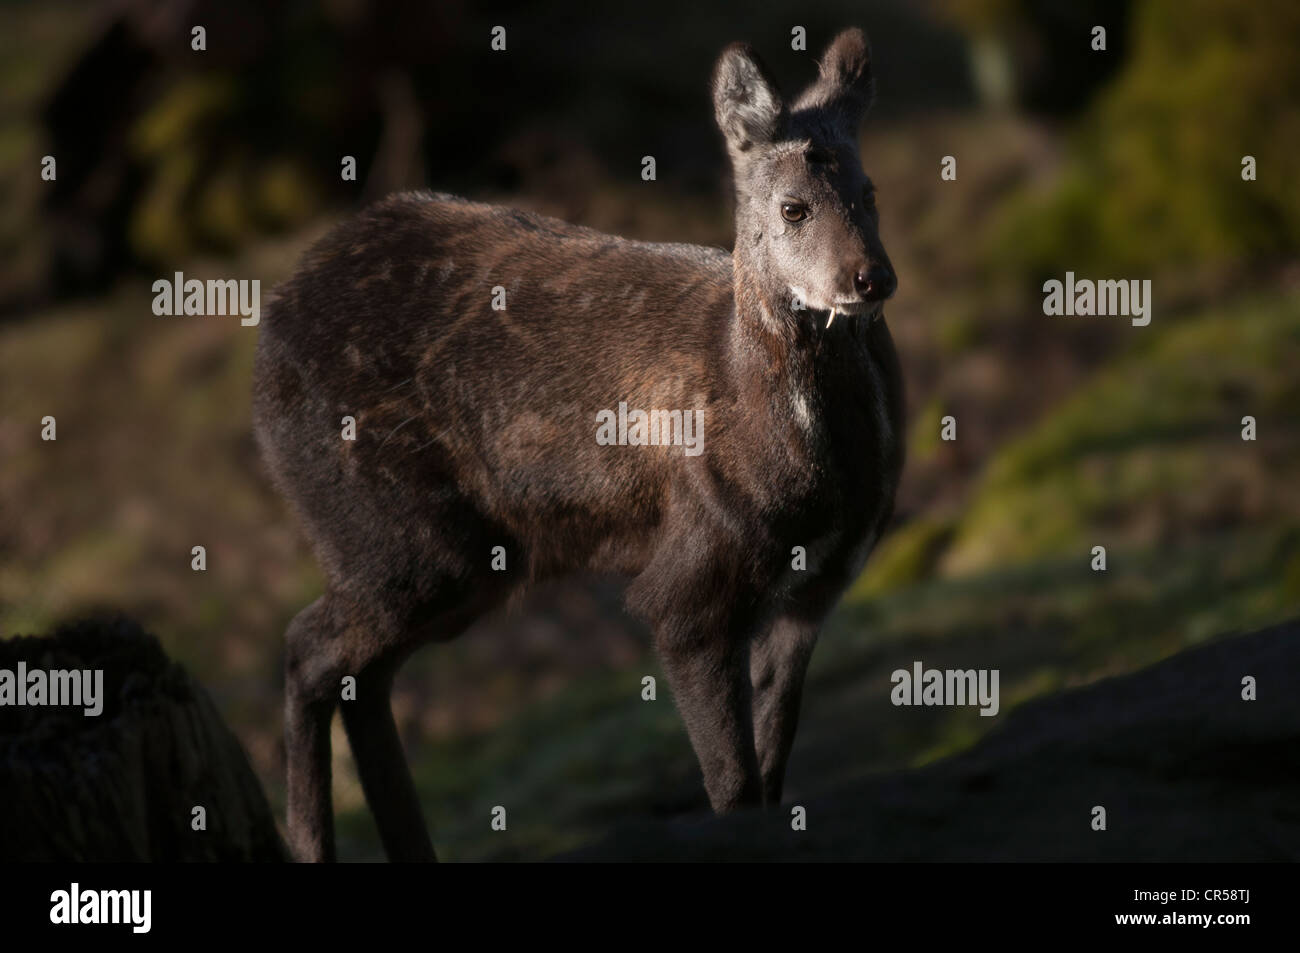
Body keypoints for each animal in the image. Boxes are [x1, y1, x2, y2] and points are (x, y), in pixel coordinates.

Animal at [252, 27, 903, 862]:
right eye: (793, 206)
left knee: (361, 675)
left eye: (870, 192)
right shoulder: (688, 583)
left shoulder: (815, 592)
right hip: (394, 529)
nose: (871, 277)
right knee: (306, 644)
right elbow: (732, 780)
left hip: (464, 564)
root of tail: (270, 324)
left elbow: (773, 764)